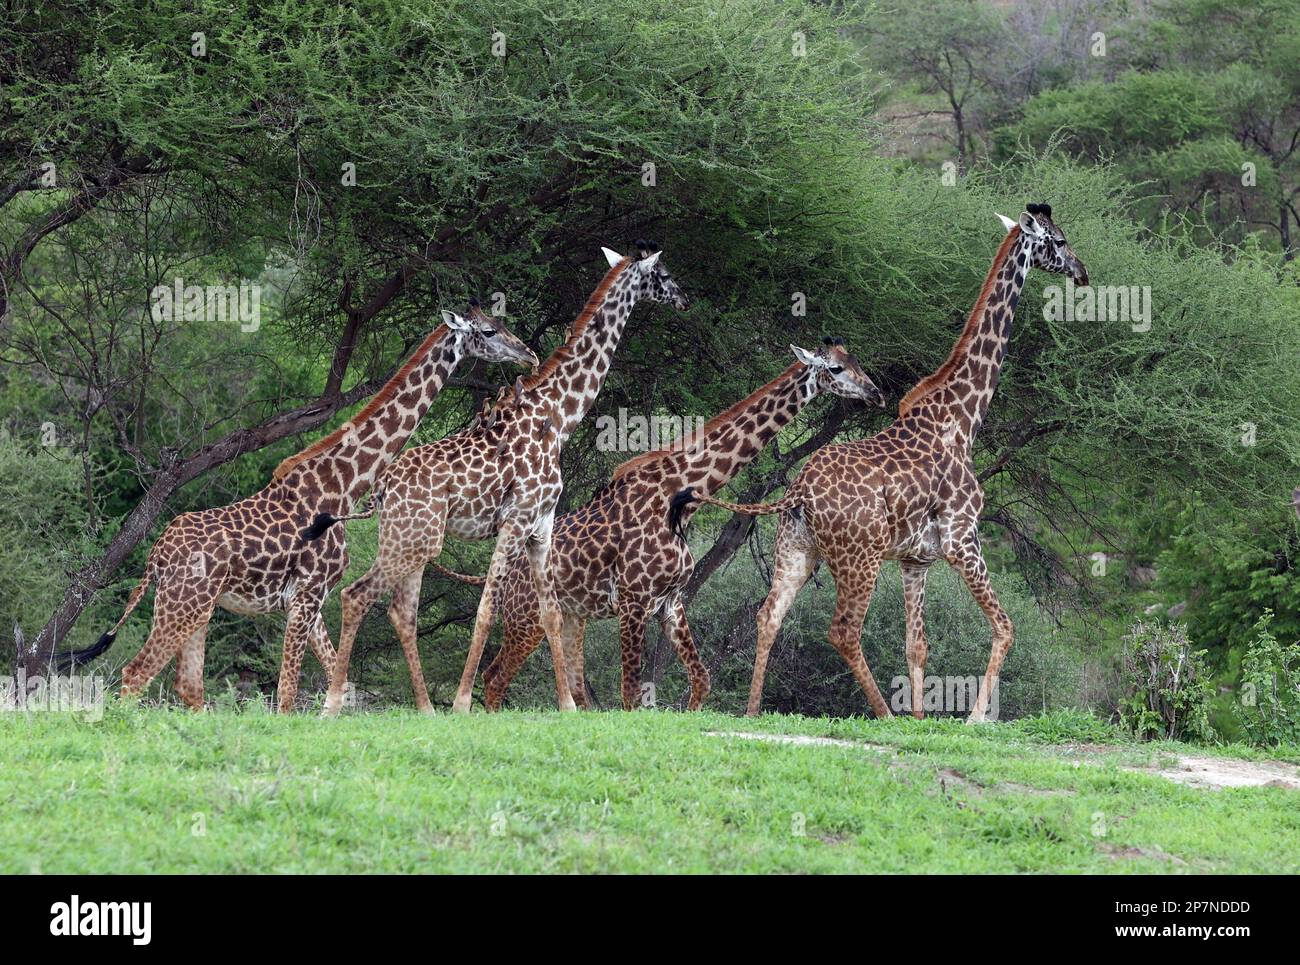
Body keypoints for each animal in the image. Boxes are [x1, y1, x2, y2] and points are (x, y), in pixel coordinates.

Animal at [53, 305, 538, 713]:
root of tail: (155, 555)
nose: (529, 354)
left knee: (188, 687)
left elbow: (335, 681)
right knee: (136, 674)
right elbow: (287, 693)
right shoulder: (306, 595)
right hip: (181, 605)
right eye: (489, 330)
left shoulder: (311, 598)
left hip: (196, 609)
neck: (343, 487)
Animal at [311, 242, 690, 716]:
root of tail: (382, 488)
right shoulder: (515, 518)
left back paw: (422, 709)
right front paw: (462, 703)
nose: (685, 299)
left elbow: (550, 613)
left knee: (399, 611)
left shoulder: (541, 527)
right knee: (356, 595)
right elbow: (487, 609)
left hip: (412, 541)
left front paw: (567, 706)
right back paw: (333, 705)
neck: (559, 418)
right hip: (414, 540)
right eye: (663, 273)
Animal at [434, 339, 883, 713]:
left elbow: (700, 681)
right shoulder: (634, 600)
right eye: (837, 369)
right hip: (524, 621)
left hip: (571, 618)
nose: (875, 392)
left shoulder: (670, 602)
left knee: (567, 686)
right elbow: (631, 693)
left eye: (858, 361)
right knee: (495, 680)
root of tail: (502, 576)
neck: (679, 500)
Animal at [674, 204, 1087, 722]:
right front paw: (972, 718)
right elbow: (1005, 627)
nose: (1082, 272)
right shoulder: (961, 538)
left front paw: (921, 719)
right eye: (1058, 240)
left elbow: (917, 645)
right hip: (860, 557)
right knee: (843, 630)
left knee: (769, 614)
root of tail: (798, 490)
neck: (962, 419)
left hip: (797, 550)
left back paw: (752, 711)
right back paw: (883, 715)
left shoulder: (916, 558)